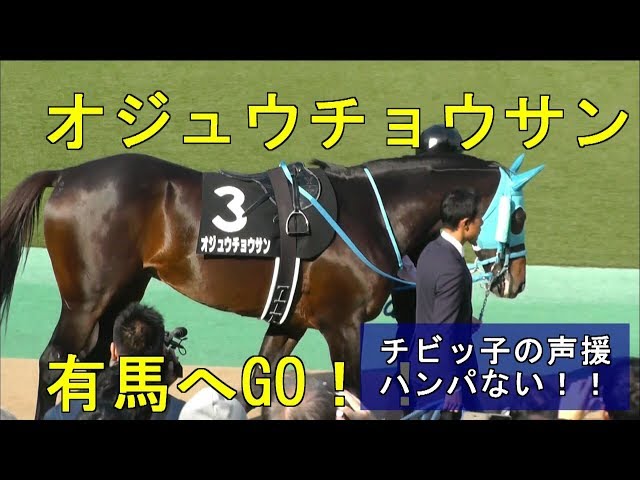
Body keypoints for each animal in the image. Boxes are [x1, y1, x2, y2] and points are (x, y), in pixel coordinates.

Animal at [0, 149, 544, 419]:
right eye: (519, 216)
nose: (516, 281)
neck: (371, 213)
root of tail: (67, 174)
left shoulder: (291, 320)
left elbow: (259, 382)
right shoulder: (343, 326)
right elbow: (352, 393)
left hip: (124, 291)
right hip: (86, 300)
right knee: (54, 360)